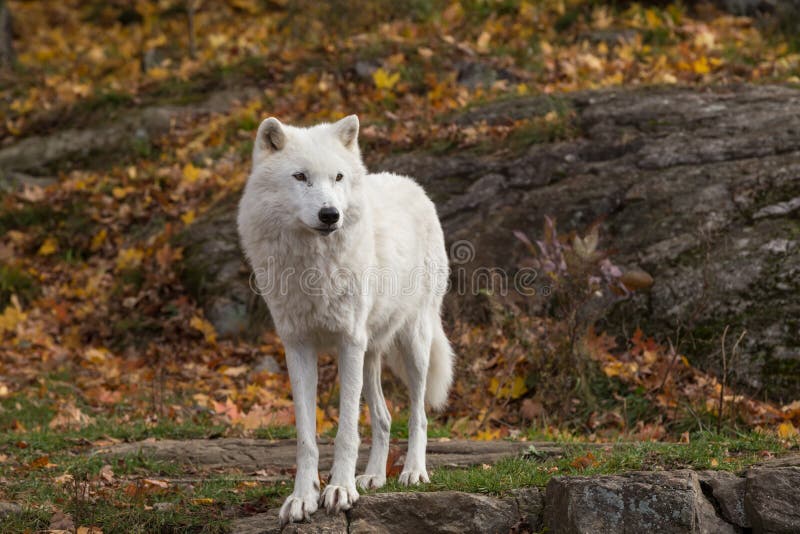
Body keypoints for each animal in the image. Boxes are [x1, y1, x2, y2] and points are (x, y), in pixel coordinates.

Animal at [237, 115, 454, 525]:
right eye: (300, 177)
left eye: (337, 177)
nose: (329, 215)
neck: (313, 267)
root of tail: (410, 183)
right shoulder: (298, 347)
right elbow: (306, 437)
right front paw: (302, 498)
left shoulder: (347, 343)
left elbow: (346, 429)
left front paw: (339, 490)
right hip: (370, 354)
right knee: (384, 417)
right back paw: (372, 477)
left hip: (414, 344)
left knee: (418, 414)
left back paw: (412, 472)